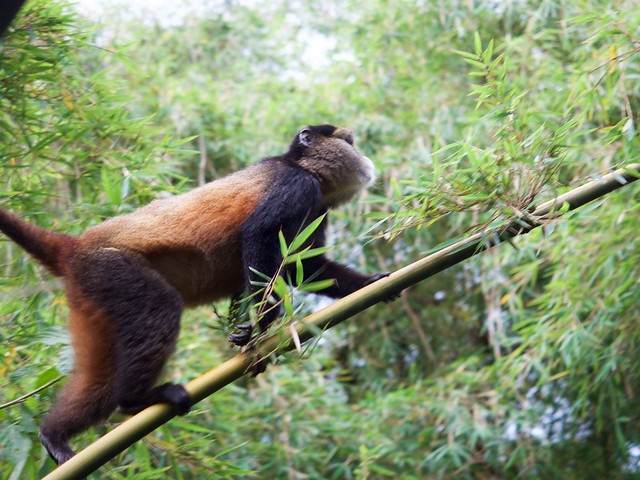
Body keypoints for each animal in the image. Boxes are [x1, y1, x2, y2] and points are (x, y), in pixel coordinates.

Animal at [0, 124, 391, 466]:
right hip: (112, 269)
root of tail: (76, 247)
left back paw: (54, 436)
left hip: (91, 291)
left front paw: (372, 283)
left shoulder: (316, 208)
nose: (366, 158)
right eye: (350, 143)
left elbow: (305, 268)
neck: (301, 165)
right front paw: (261, 325)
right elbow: (258, 236)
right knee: (161, 310)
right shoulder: (297, 186)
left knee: (99, 378)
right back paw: (135, 401)